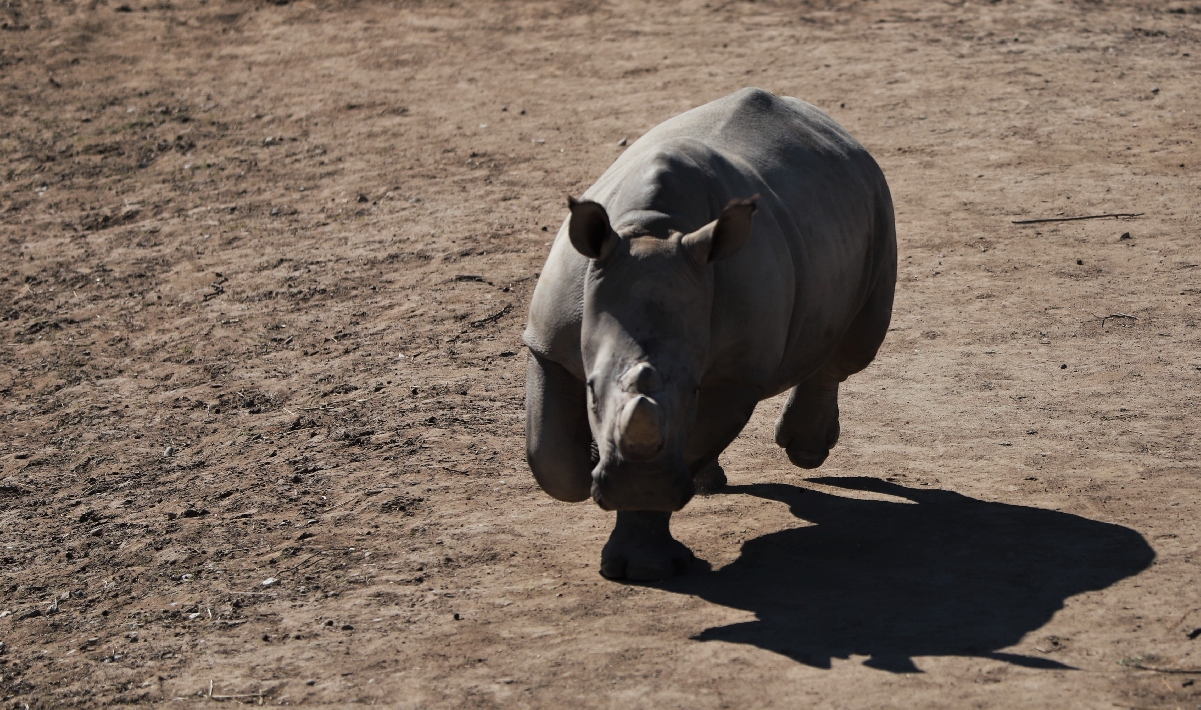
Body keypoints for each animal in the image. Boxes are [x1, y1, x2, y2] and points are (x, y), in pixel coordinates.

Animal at [523, 88, 896, 580]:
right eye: (590, 388)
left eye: (695, 390)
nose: (631, 485)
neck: (651, 229)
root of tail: (833, 128)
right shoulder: (547, 344)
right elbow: (551, 463)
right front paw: (590, 467)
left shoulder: (736, 376)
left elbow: (692, 442)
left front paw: (646, 563)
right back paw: (710, 485)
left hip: (877, 204)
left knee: (851, 350)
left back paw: (806, 453)